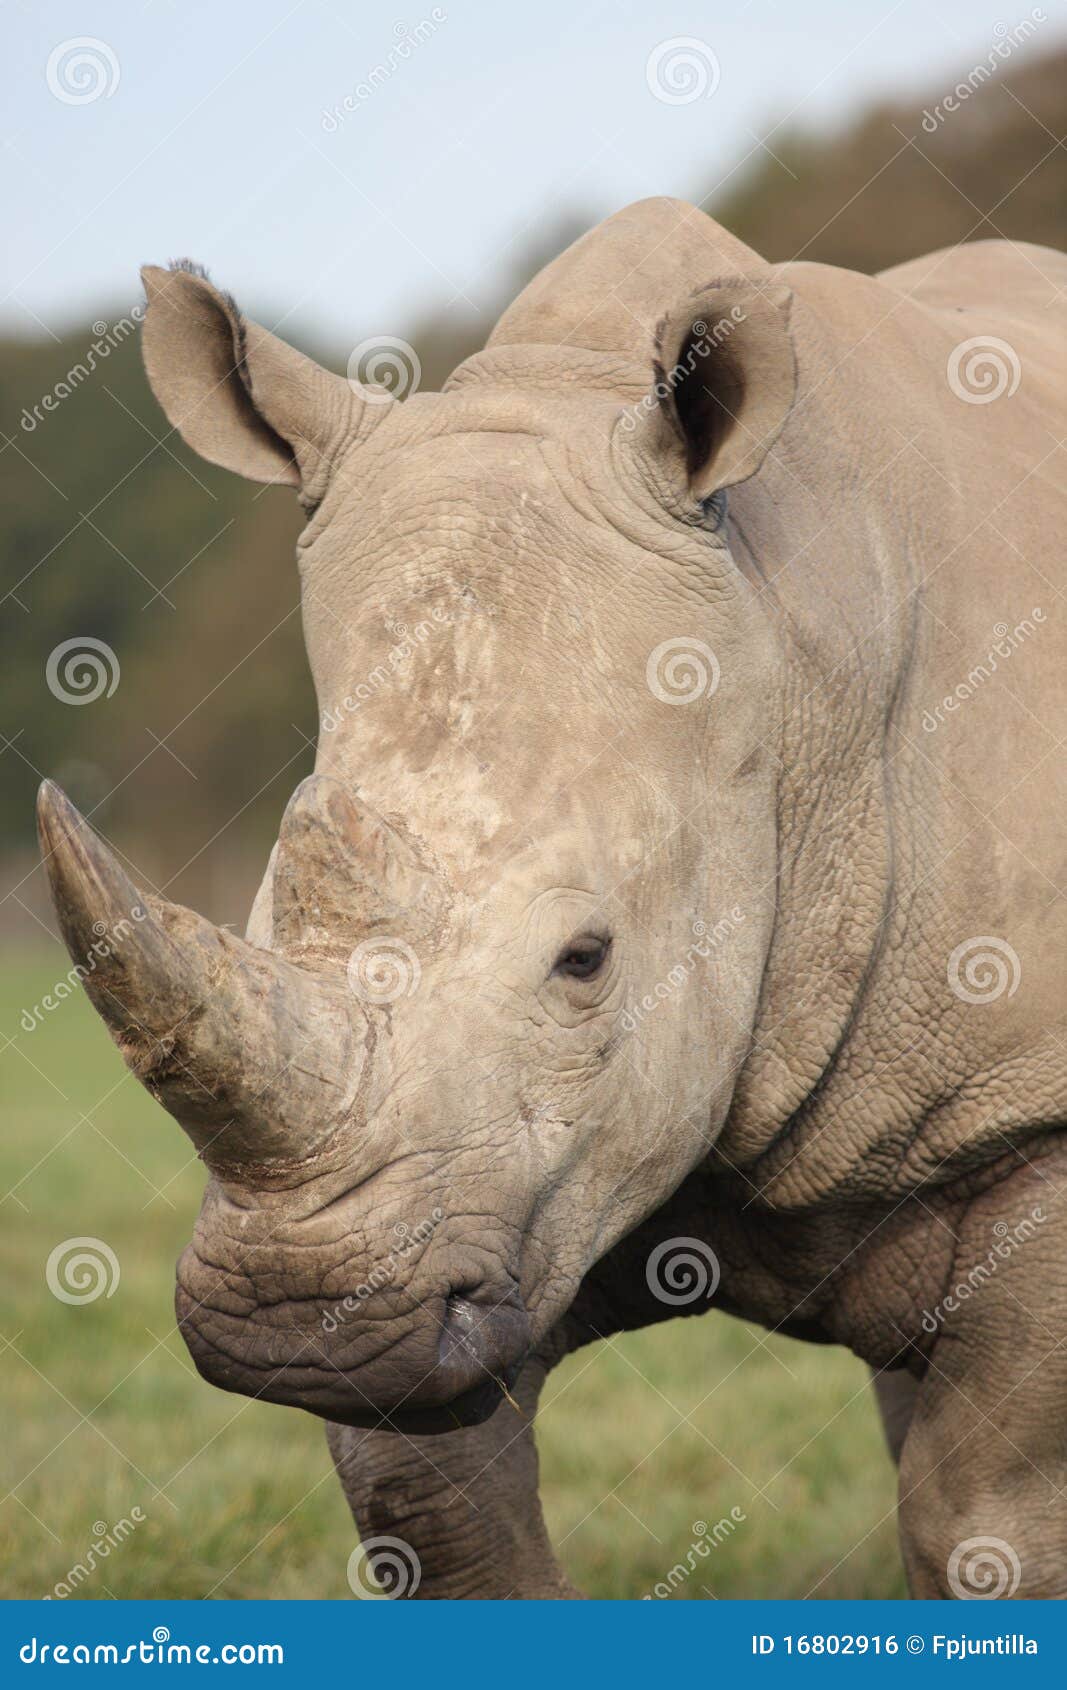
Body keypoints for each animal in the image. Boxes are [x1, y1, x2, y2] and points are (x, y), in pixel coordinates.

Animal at [38, 197, 1067, 1599]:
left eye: (585, 958)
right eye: (264, 921)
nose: (296, 1318)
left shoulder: (1030, 1103)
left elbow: (986, 1521)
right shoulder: (485, 1214)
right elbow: (438, 1508)